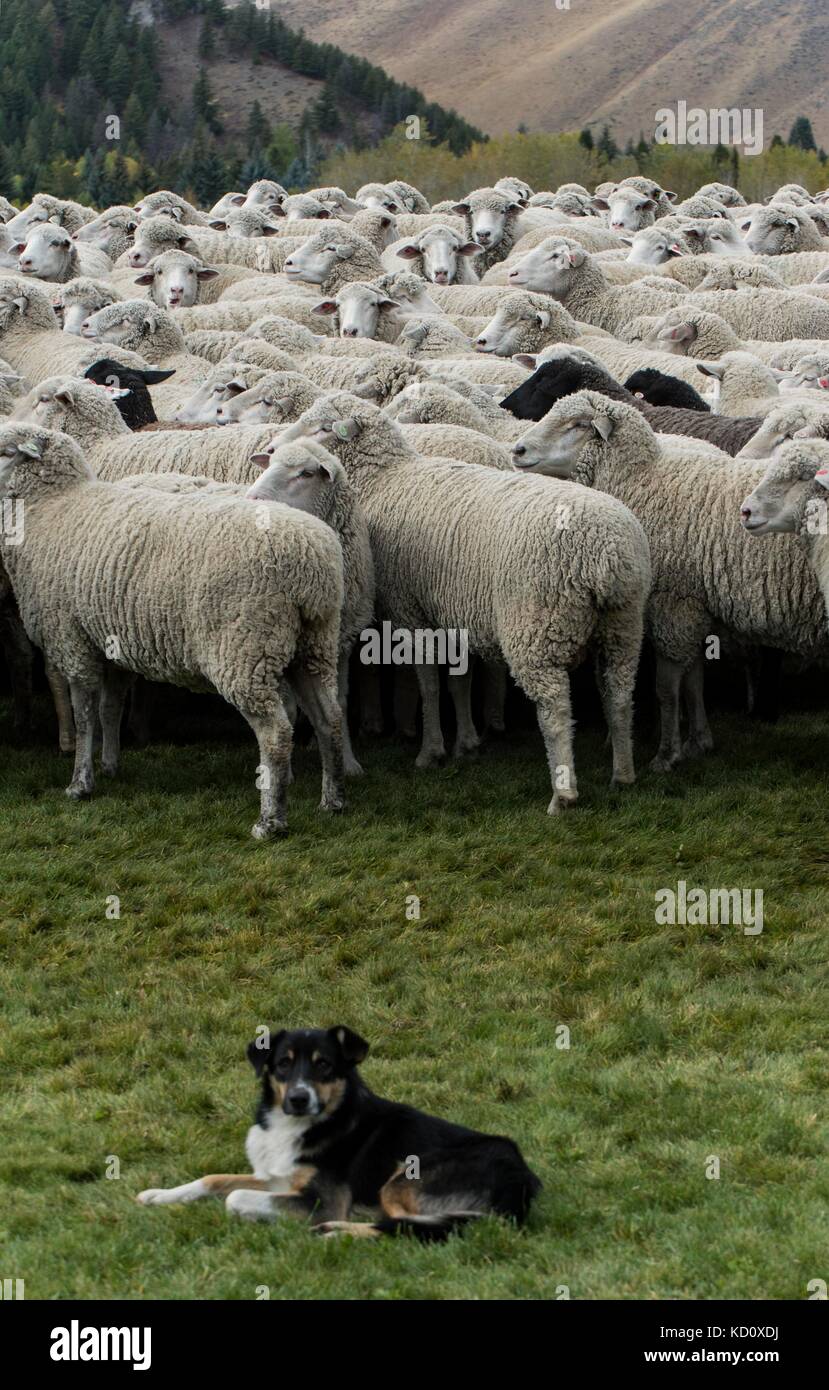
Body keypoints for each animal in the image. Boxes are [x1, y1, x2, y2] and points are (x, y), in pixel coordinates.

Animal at [0, 422, 344, 836]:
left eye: (5, 452)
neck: (50, 507)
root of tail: (311, 563)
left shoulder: (72, 638)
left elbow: (84, 717)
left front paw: (80, 783)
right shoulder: (112, 642)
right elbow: (109, 708)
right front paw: (110, 765)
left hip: (245, 648)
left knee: (275, 733)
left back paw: (270, 821)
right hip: (313, 644)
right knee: (331, 719)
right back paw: (332, 801)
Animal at [279, 391, 651, 805]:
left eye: (323, 428)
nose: (272, 448)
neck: (384, 477)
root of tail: (607, 552)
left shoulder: (412, 611)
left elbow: (428, 682)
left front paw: (431, 751)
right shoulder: (455, 612)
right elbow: (460, 680)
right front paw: (466, 743)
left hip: (537, 628)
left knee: (555, 710)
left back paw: (563, 794)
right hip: (623, 626)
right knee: (620, 696)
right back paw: (623, 774)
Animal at [511, 390, 828, 767]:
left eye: (577, 425)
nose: (517, 450)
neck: (642, 482)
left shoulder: (671, 600)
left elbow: (667, 686)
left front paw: (666, 754)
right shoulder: (691, 601)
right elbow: (693, 680)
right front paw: (698, 741)